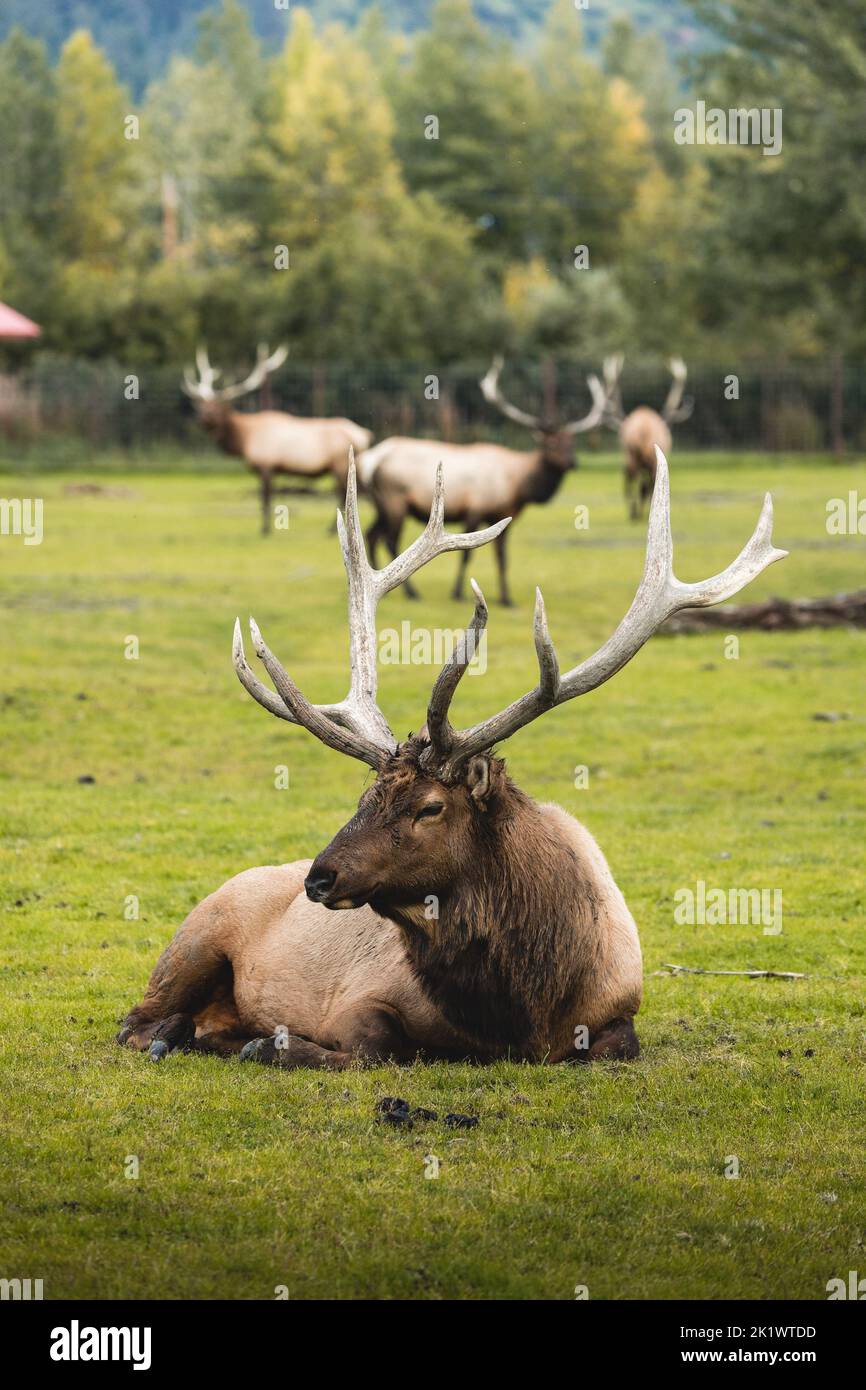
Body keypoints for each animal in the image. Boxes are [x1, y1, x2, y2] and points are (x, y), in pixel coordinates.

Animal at [117, 450, 787, 1071]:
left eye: (430, 807)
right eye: (365, 798)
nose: (318, 878)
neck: (523, 1013)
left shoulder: (621, 1008)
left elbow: (621, 1045)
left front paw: (263, 1042)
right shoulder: (357, 998)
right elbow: (375, 1046)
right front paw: (273, 1043)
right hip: (194, 938)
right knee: (134, 1023)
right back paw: (178, 1037)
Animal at [182, 344, 373, 535]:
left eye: (216, 407)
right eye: (203, 404)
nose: (201, 417)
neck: (245, 438)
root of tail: (363, 434)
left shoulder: (266, 465)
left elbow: (265, 498)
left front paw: (265, 529)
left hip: (340, 465)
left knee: (344, 493)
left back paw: (332, 529)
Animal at [358, 358, 610, 607]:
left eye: (571, 442)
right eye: (552, 443)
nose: (573, 462)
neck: (517, 485)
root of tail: (371, 459)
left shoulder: (502, 515)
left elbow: (502, 558)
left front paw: (506, 598)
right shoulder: (475, 509)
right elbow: (466, 554)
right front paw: (457, 593)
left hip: (381, 504)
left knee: (372, 534)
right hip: (394, 501)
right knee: (390, 541)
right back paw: (412, 592)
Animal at [600, 356, 694, 521]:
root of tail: (642, 431)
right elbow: (647, 488)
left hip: (630, 456)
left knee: (630, 481)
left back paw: (633, 512)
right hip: (643, 459)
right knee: (640, 484)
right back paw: (636, 512)